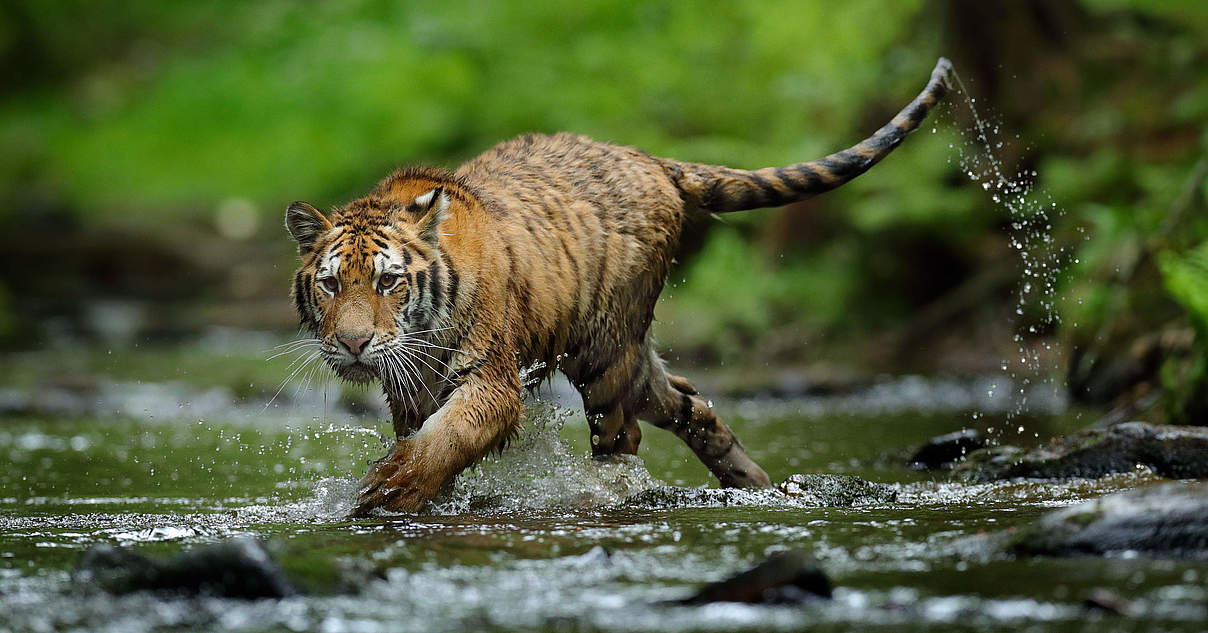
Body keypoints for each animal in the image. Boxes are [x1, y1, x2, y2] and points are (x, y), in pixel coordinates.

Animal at [284, 58, 954, 516]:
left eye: (388, 282)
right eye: (329, 285)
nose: (351, 345)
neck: (416, 342)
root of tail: (653, 159)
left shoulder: (493, 381)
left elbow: (448, 437)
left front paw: (393, 486)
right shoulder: (410, 392)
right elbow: (427, 436)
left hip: (604, 355)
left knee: (623, 436)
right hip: (630, 362)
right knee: (690, 402)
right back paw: (757, 486)